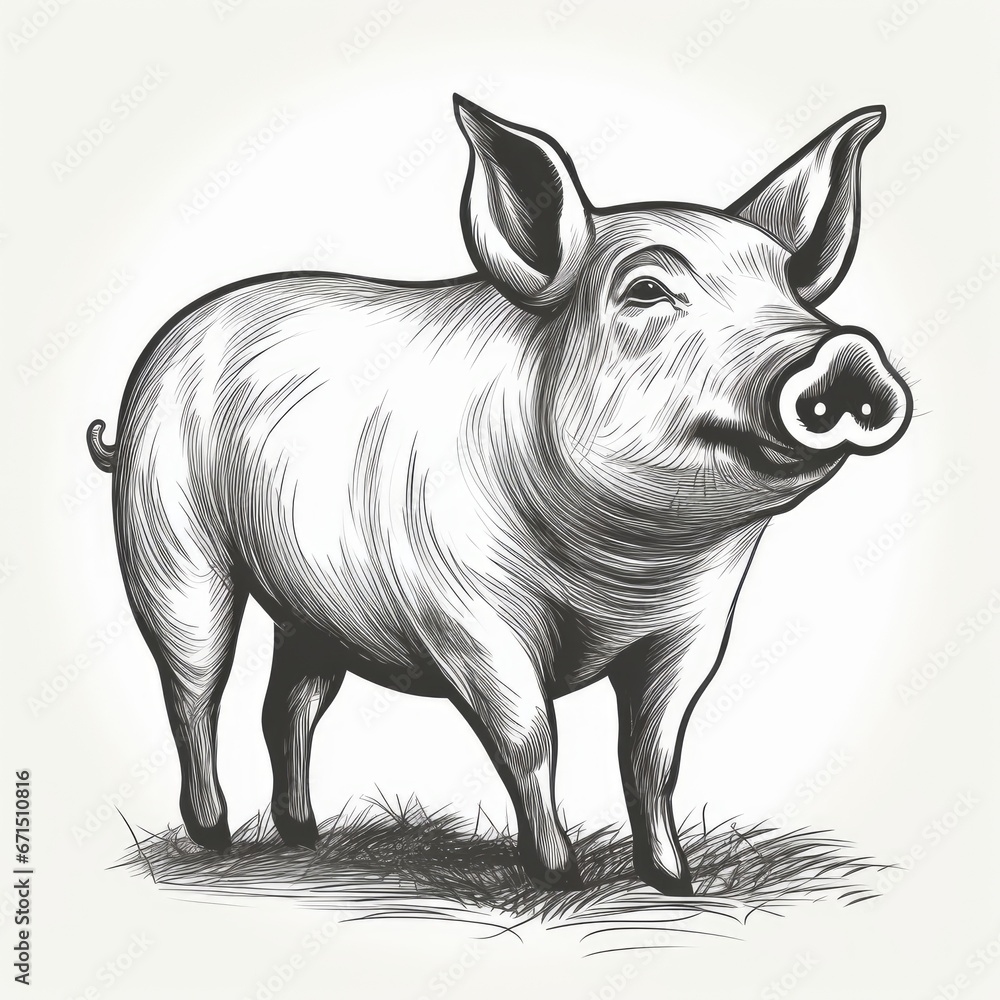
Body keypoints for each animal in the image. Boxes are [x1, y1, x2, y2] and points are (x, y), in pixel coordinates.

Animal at [87, 95, 912, 895]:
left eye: (789, 289)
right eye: (647, 290)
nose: (842, 349)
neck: (628, 564)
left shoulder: (694, 627)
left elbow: (652, 754)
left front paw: (675, 882)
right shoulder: (467, 615)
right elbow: (530, 738)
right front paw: (560, 876)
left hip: (315, 606)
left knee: (286, 704)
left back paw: (304, 834)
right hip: (169, 545)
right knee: (193, 687)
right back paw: (215, 836)